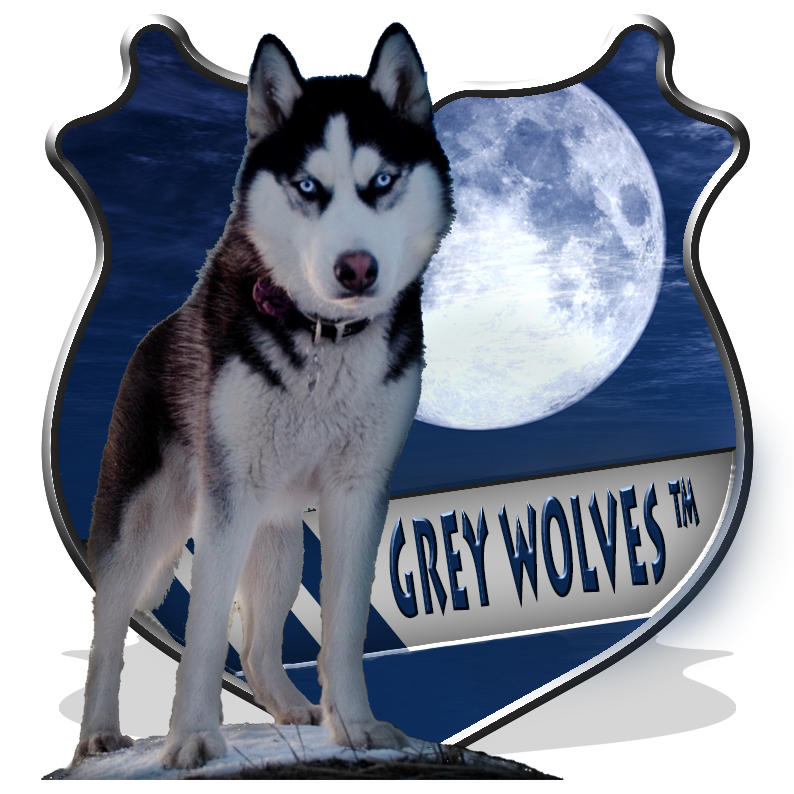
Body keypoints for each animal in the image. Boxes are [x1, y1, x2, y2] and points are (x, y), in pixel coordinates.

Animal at [73, 23, 454, 769]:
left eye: (382, 182)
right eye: (308, 185)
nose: (356, 268)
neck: (323, 338)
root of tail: (155, 333)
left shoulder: (356, 494)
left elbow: (342, 628)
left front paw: (356, 729)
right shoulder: (228, 500)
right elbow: (201, 631)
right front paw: (193, 738)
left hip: (278, 538)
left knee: (256, 645)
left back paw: (290, 709)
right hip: (149, 521)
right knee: (110, 625)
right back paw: (98, 735)